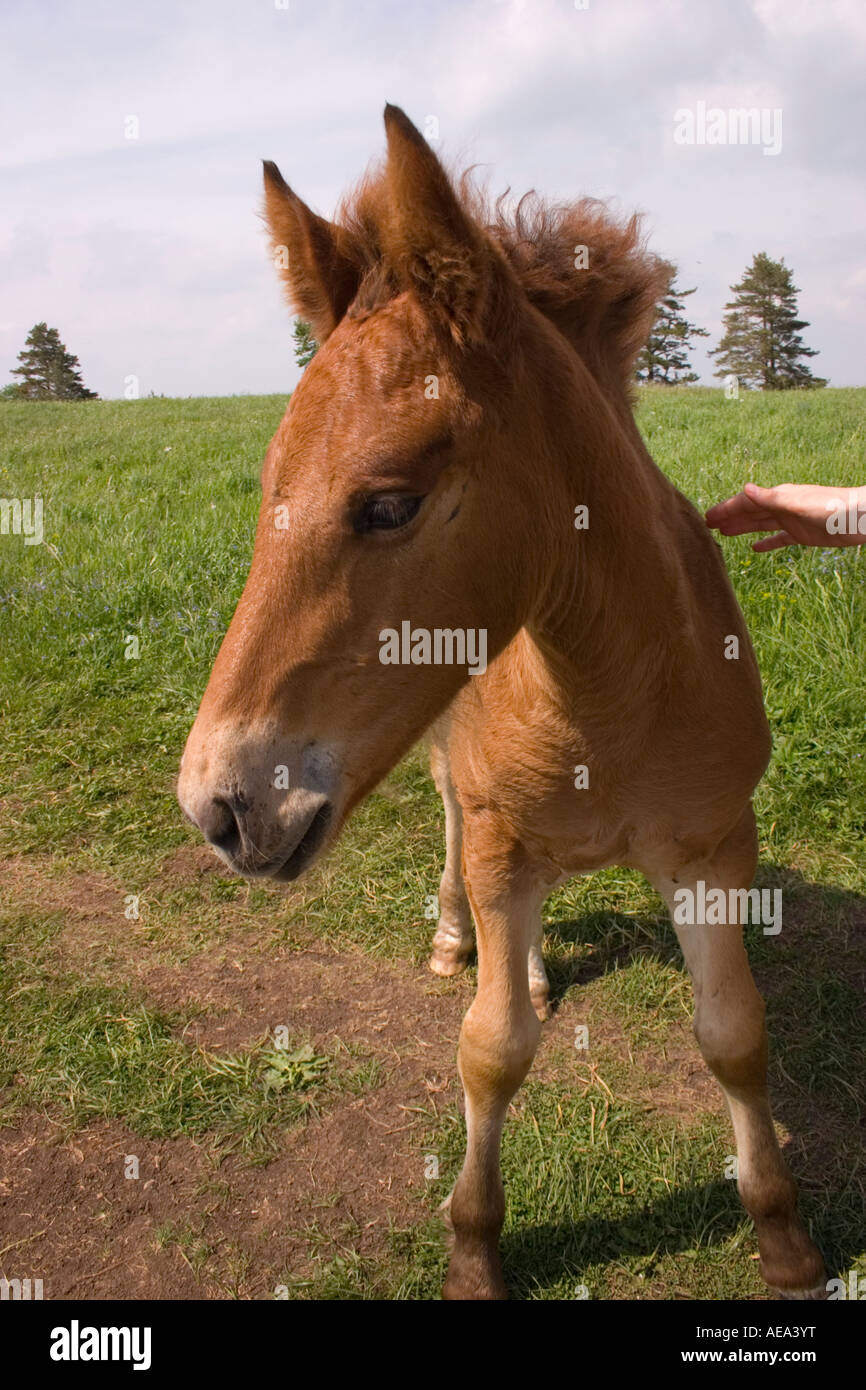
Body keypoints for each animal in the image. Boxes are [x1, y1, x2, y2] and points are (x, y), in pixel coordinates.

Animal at [177, 104, 826, 1301]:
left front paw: (783, 1234)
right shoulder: (495, 831)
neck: (607, 688)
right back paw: (460, 941)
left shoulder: (714, 843)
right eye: (268, 485)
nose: (219, 805)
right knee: (450, 831)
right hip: (453, 767)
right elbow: (490, 1049)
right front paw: (474, 1246)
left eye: (389, 502)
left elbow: (732, 1032)